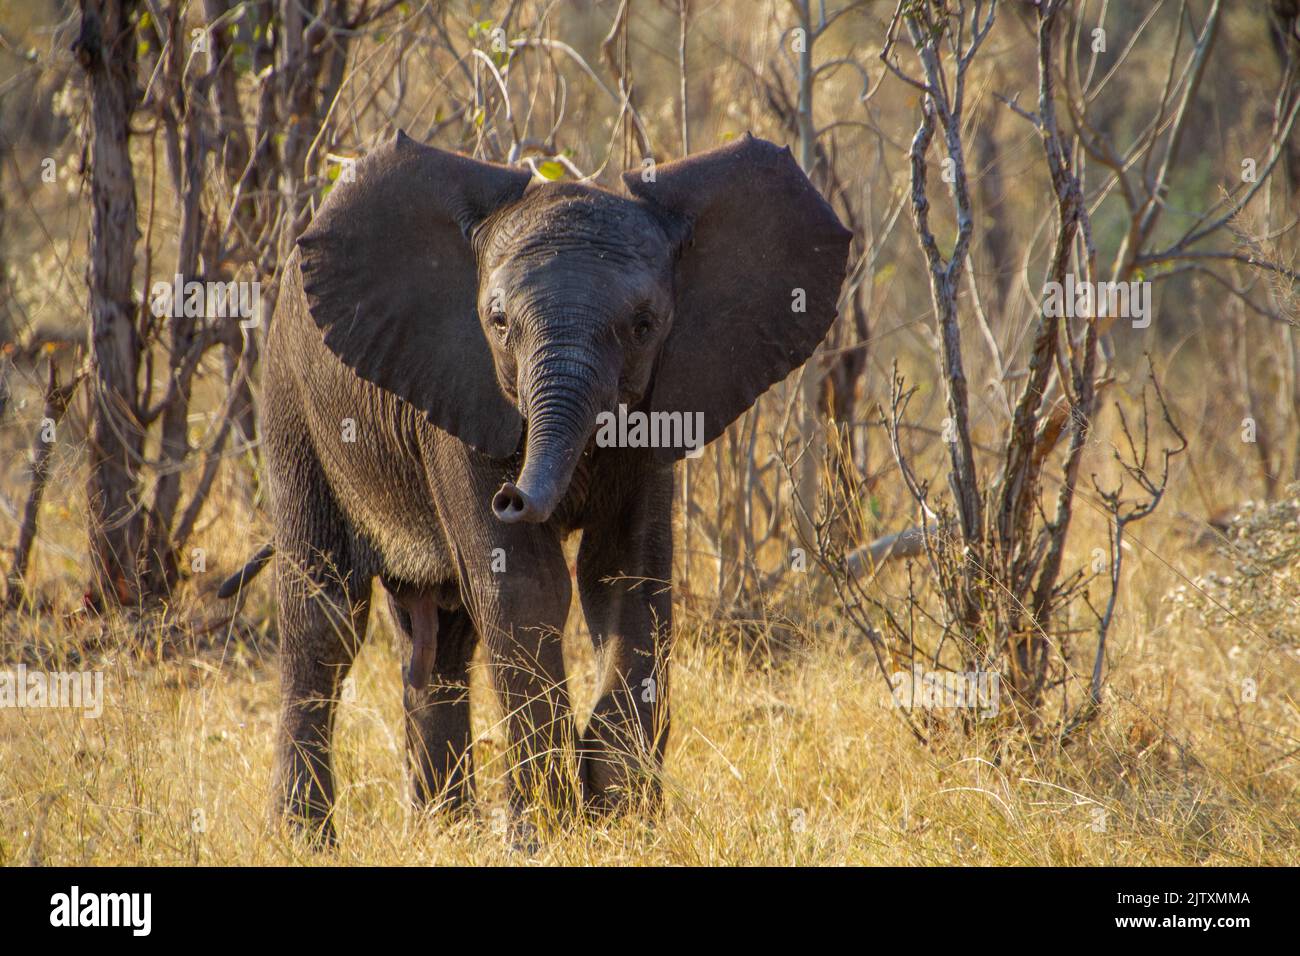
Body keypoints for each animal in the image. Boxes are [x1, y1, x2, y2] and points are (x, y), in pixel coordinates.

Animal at [223, 129, 851, 844]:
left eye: (644, 325)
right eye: (498, 323)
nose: (513, 497)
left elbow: (626, 578)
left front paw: (622, 816)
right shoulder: (462, 392)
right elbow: (526, 584)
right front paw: (548, 832)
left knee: (440, 636)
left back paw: (448, 830)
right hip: (291, 405)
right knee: (323, 618)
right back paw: (302, 836)